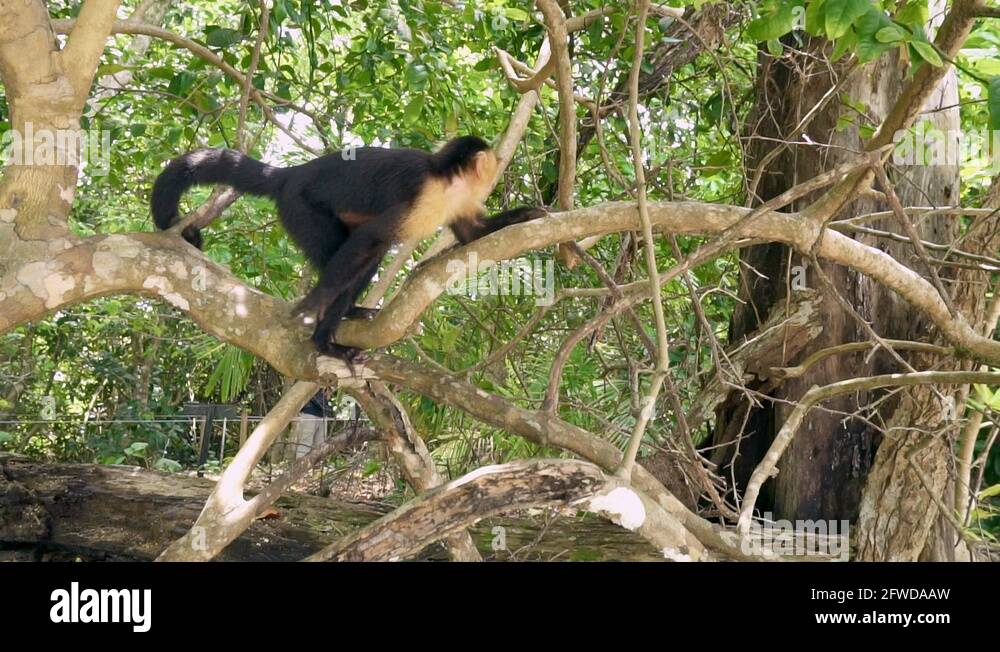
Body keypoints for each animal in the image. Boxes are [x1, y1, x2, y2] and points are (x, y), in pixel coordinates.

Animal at [151, 136, 547, 361]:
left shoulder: (458, 201)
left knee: (365, 261)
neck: (449, 181)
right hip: (301, 209)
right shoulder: (424, 195)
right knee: (355, 253)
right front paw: (317, 299)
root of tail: (292, 173)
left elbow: (472, 234)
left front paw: (527, 214)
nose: (498, 165)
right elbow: (372, 236)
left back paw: (350, 313)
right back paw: (324, 340)